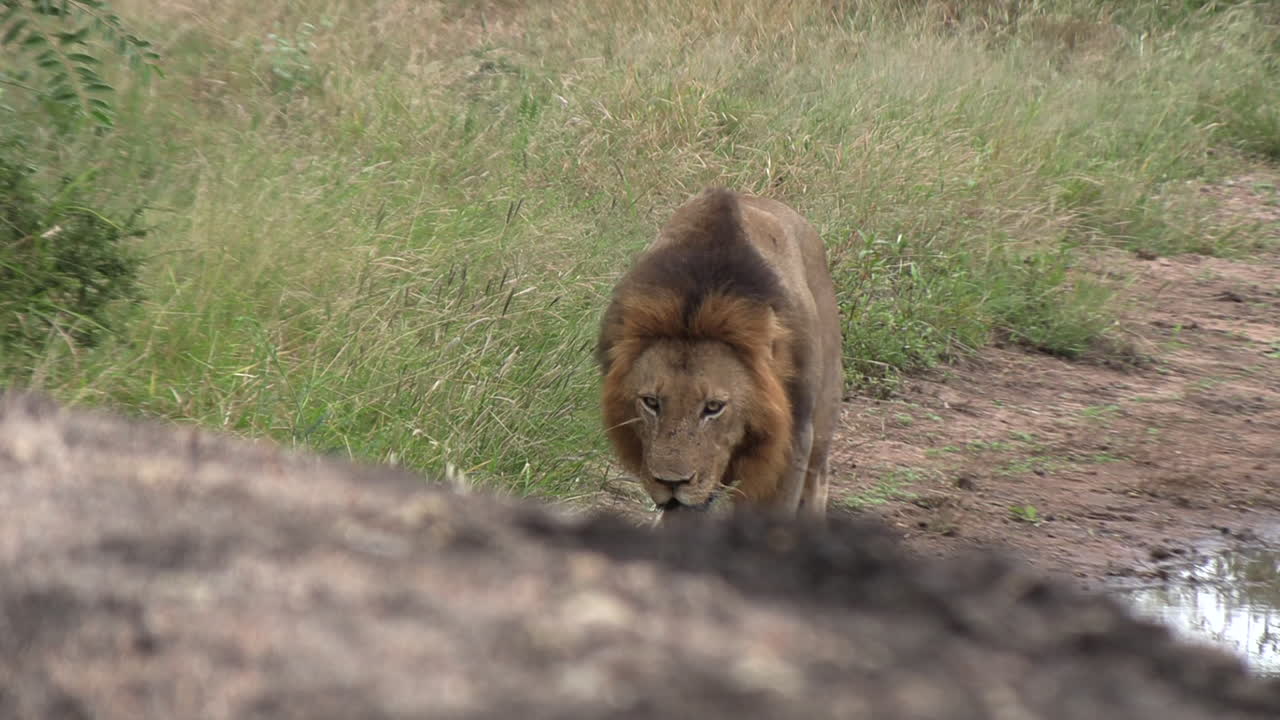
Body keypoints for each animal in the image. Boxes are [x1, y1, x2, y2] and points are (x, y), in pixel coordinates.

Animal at [597, 187, 843, 518]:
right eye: (651, 402)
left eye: (714, 407)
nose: (671, 482)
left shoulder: (794, 440)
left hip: (824, 415)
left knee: (817, 479)